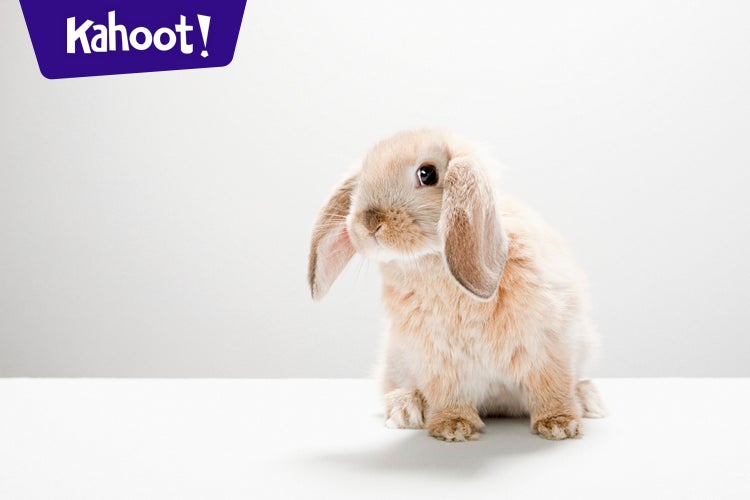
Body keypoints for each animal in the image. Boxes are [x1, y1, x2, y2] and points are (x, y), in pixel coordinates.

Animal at [308, 129, 605, 441]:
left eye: (427, 174)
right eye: (362, 178)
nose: (369, 222)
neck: (432, 262)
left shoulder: (549, 345)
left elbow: (552, 386)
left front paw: (560, 425)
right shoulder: (437, 359)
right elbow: (447, 393)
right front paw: (452, 428)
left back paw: (588, 400)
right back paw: (405, 409)